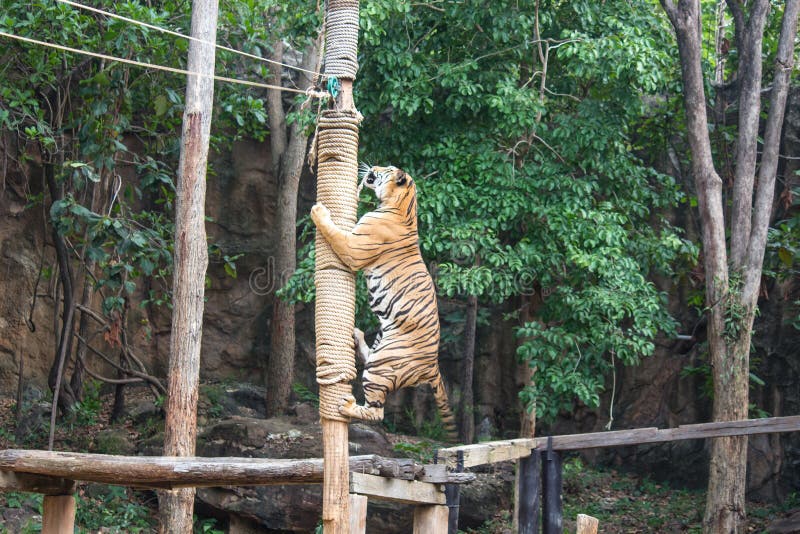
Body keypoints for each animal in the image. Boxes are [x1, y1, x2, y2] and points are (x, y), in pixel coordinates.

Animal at [310, 165, 457, 440]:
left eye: (387, 169)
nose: (373, 167)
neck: (403, 206)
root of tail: (433, 366)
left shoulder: (354, 248)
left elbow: (334, 233)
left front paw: (318, 211)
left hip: (381, 366)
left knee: (376, 412)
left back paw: (346, 406)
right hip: (380, 350)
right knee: (368, 358)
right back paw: (356, 334)